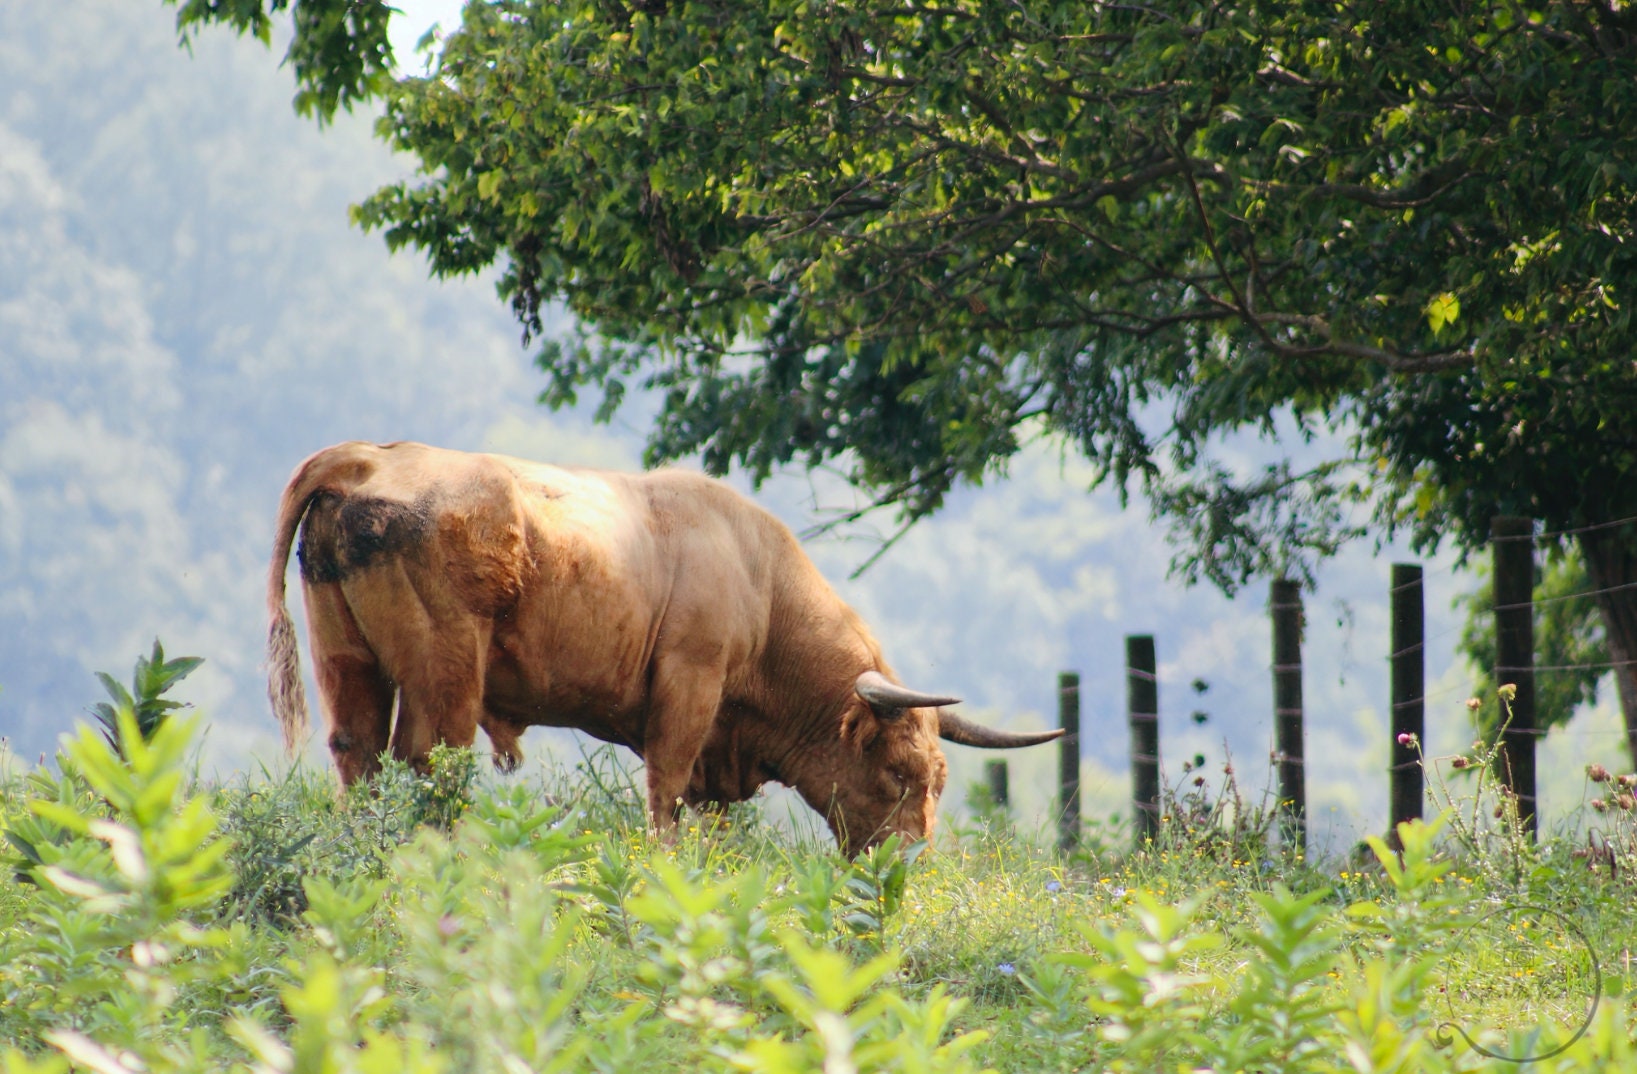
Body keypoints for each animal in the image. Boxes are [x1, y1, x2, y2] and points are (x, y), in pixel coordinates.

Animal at [266, 441, 1060, 854]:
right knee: (424, 765)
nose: (908, 862)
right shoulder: (688, 687)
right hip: (445, 677)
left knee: (359, 756)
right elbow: (666, 790)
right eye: (897, 772)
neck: (760, 584)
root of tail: (367, 459)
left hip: (350, 664)